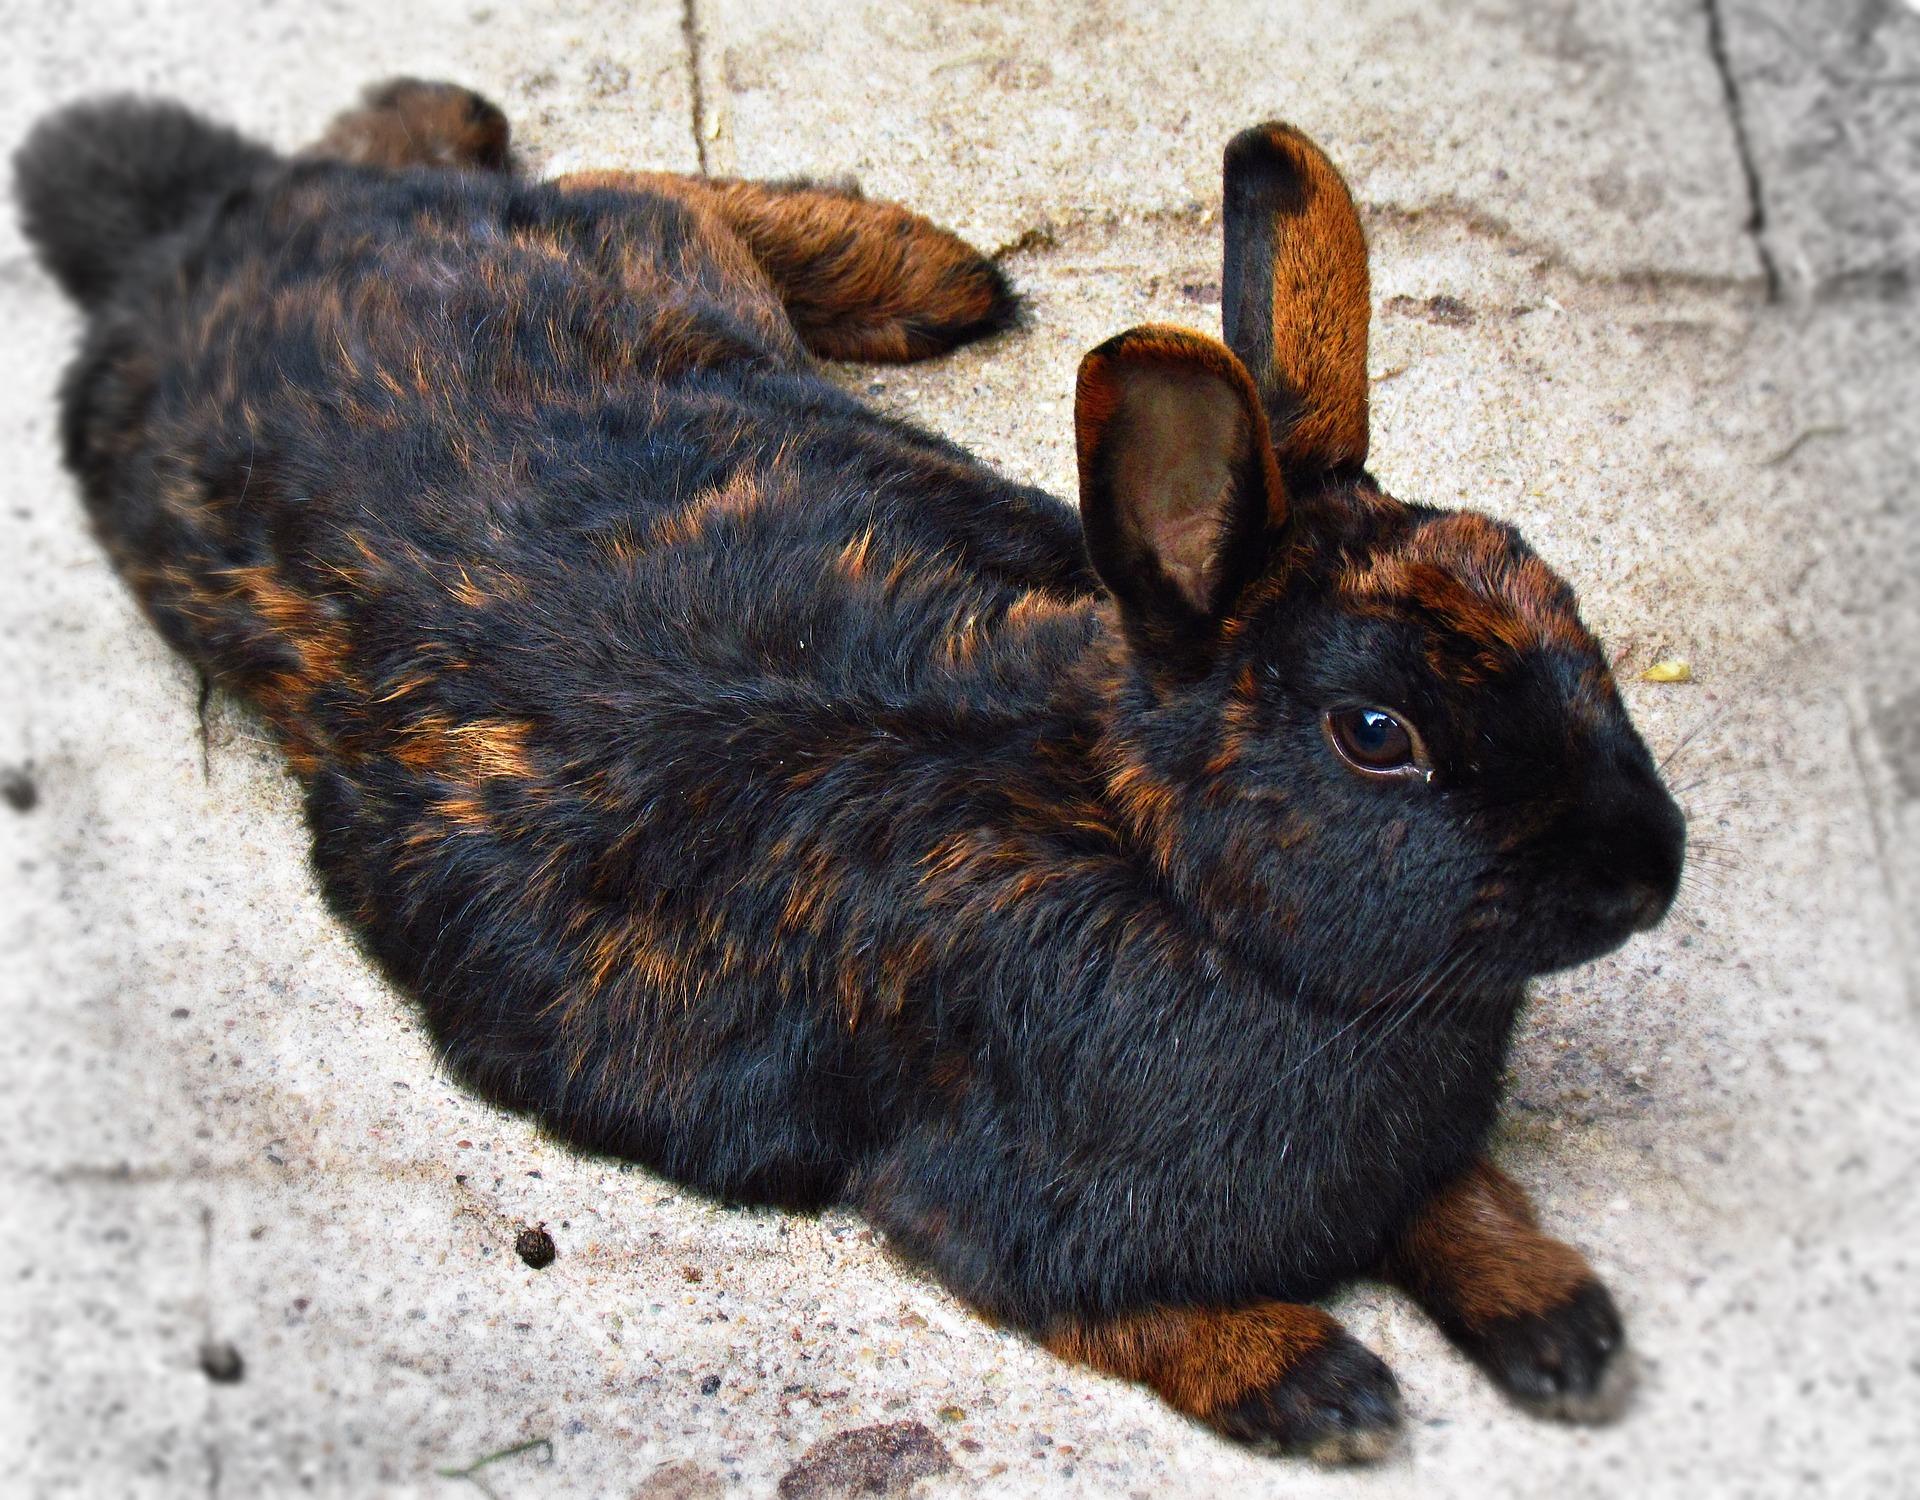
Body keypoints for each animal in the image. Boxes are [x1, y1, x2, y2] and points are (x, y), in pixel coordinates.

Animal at [15, 80, 1685, 1462]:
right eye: (1375, 735)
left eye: (1553, 595)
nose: (1649, 870)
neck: (1161, 871)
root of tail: (215, 230)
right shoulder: (986, 1207)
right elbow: (1128, 1311)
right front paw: (1331, 1394)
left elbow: (1463, 1205)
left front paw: (1566, 1335)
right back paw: (936, 274)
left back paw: (929, 272)